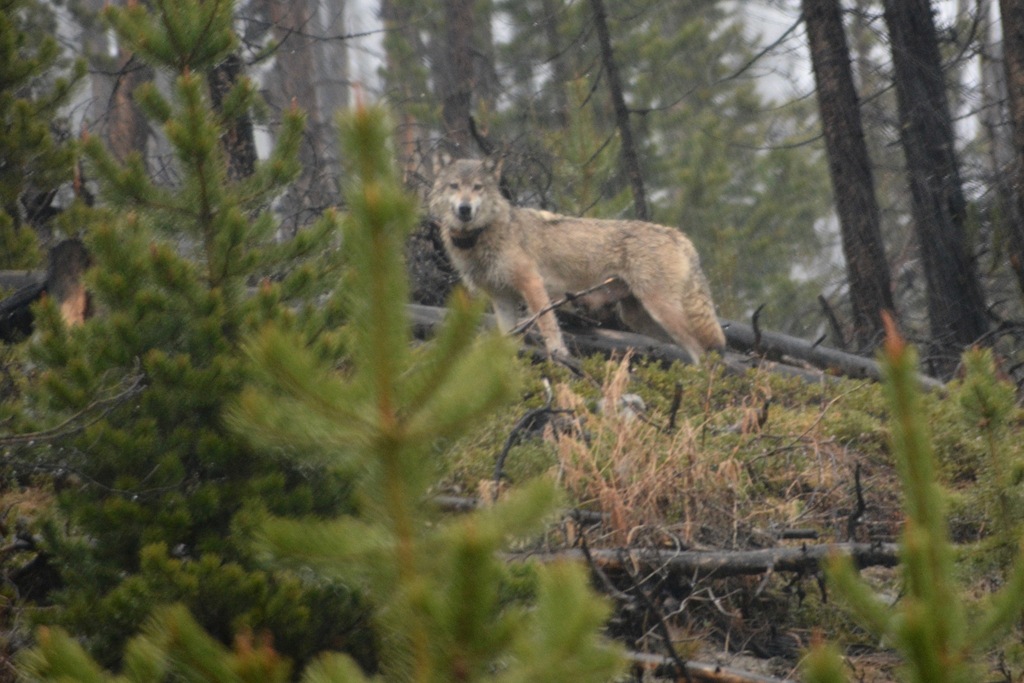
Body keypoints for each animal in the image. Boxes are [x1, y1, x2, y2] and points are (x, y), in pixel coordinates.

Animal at [428, 158, 726, 363]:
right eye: (454, 186)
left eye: (477, 188)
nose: (464, 209)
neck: (482, 235)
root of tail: (679, 235)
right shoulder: (501, 298)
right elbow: (506, 337)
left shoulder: (532, 284)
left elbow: (548, 326)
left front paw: (559, 355)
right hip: (641, 319)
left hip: (661, 310)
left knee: (704, 350)